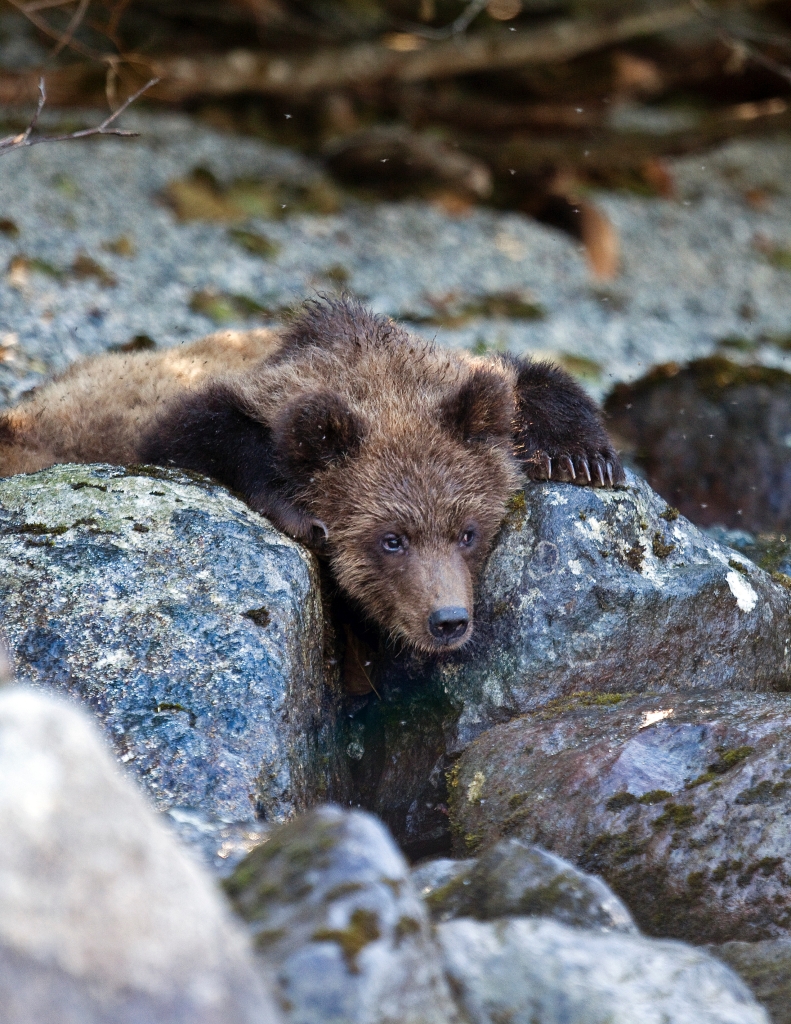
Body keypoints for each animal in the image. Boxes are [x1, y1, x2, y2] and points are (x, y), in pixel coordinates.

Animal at [0, 297, 623, 654]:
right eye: (391, 539)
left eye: (468, 532)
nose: (447, 620)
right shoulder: (194, 407)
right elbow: (212, 432)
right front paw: (298, 507)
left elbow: (528, 380)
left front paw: (582, 457)